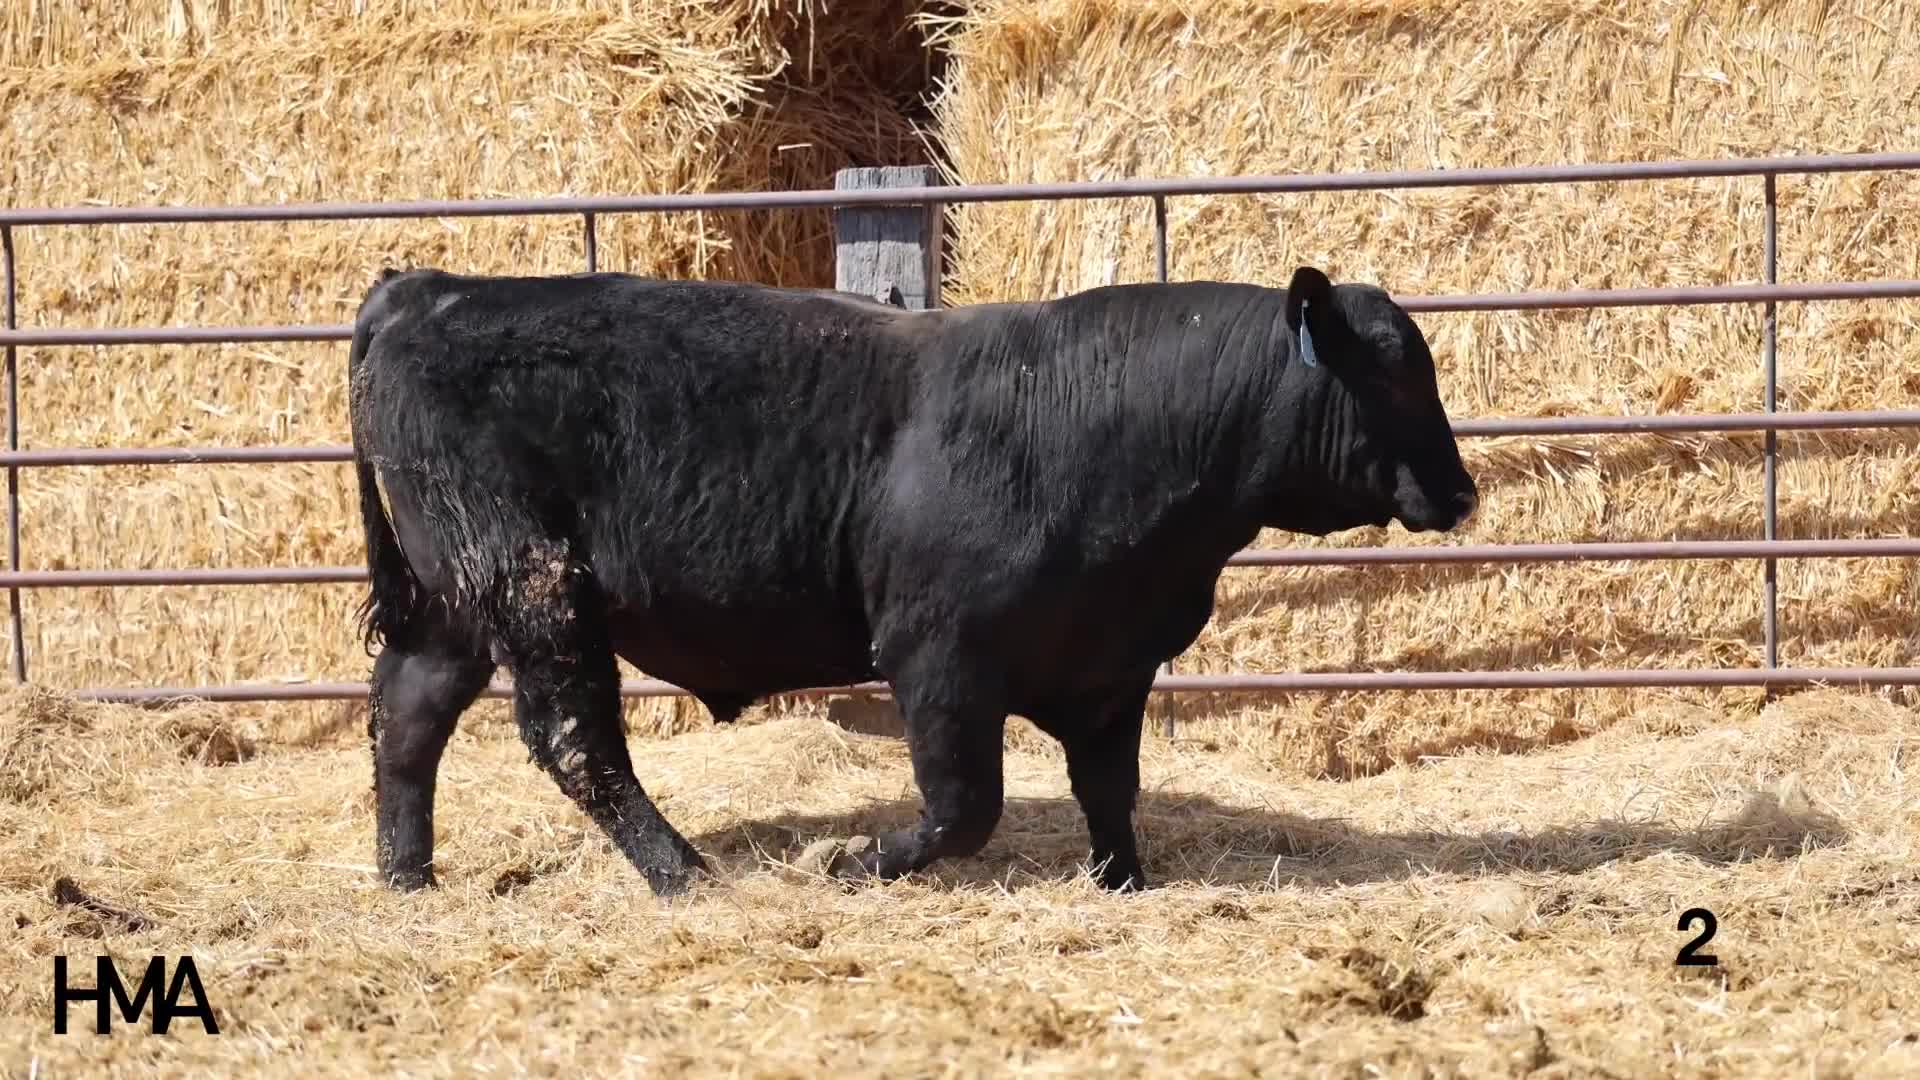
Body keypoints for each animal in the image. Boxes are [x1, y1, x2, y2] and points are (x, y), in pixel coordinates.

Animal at [347, 264, 1478, 899]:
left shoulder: (1112, 671)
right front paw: (854, 865)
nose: (1462, 493)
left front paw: (1125, 884)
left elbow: (1110, 790)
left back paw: (408, 875)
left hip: (455, 605)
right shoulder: (940, 658)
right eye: (1391, 373)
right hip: (535, 588)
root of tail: (426, 287)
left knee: (408, 712)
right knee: (576, 741)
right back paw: (682, 874)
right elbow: (965, 806)